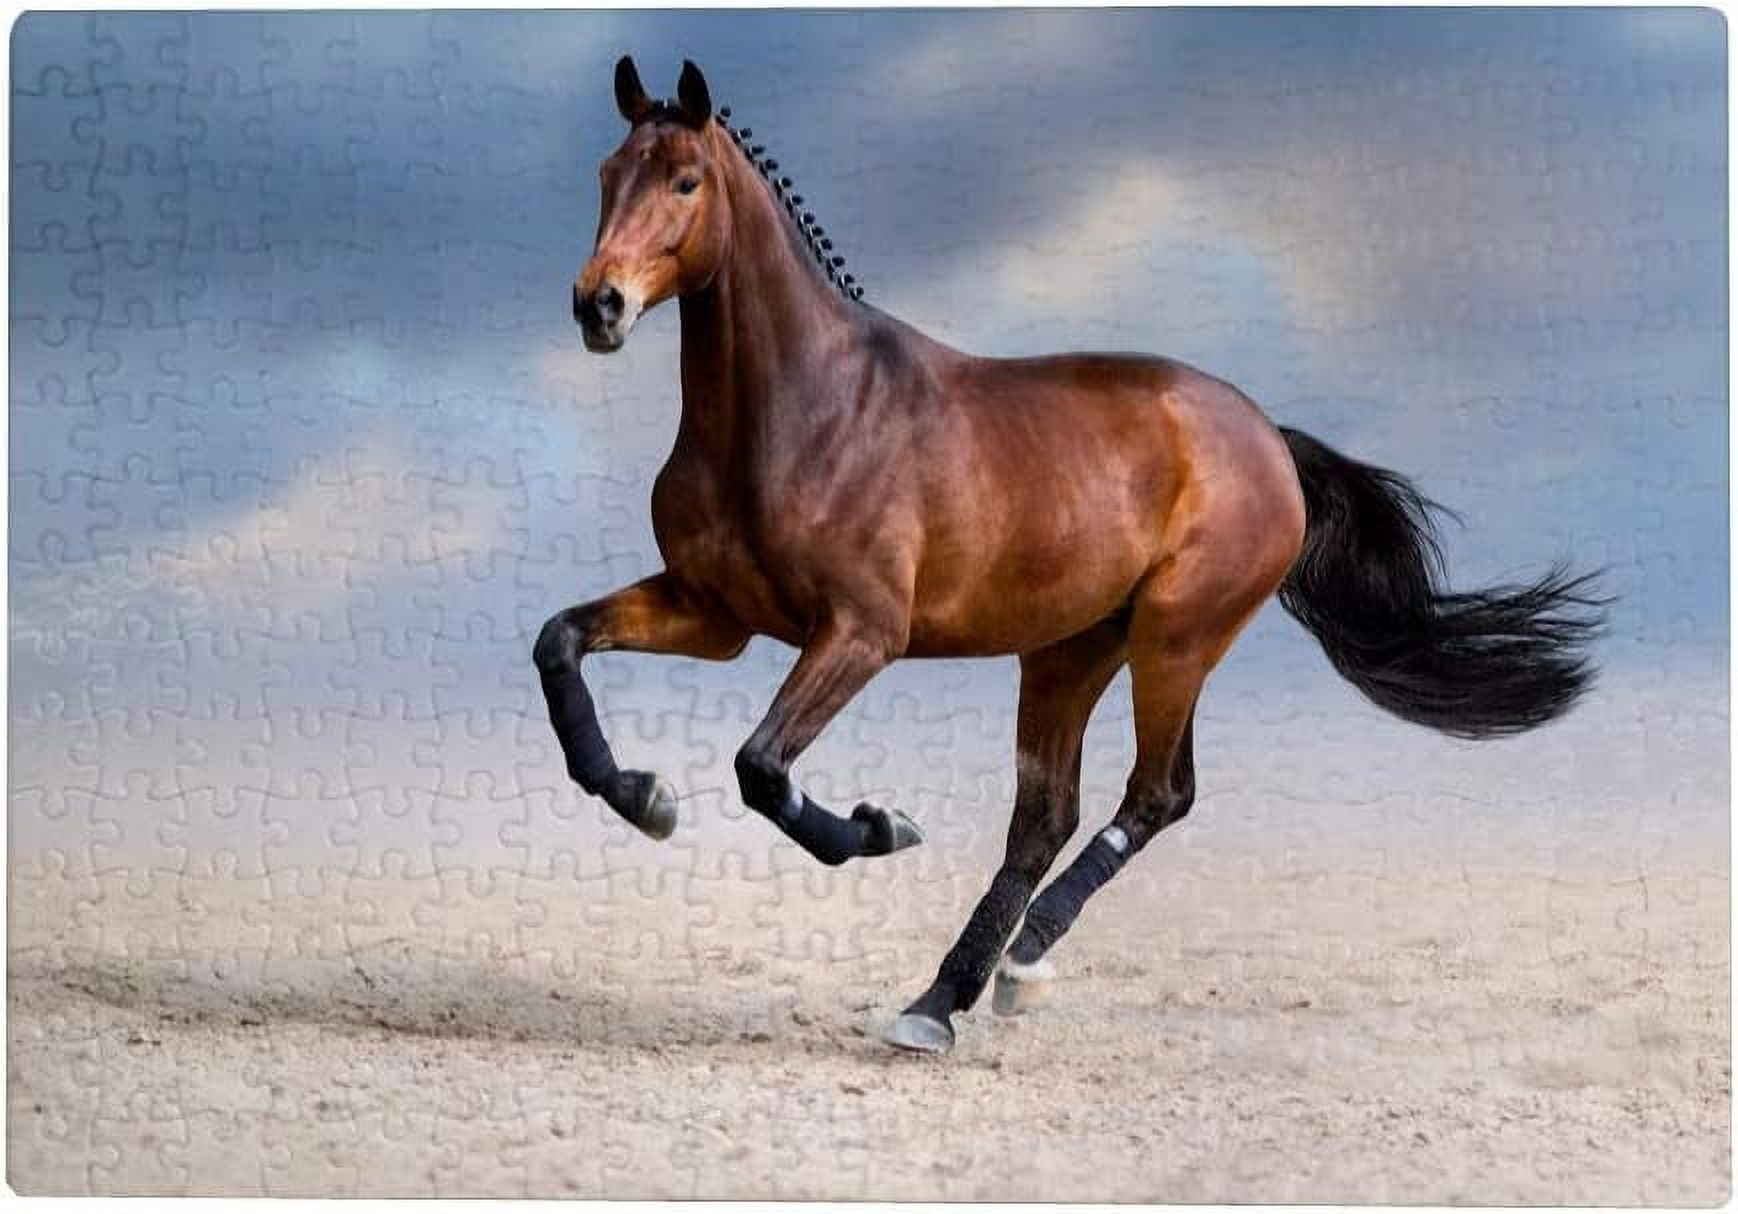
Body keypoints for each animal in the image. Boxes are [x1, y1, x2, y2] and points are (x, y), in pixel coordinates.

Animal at [538, 57, 1603, 1054]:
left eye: (684, 181)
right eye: (607, 173)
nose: (599, 305)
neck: (803, 408)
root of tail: (1267, 439)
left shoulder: (860, 634)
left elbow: (761, 765)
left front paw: (881, 828)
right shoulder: (712, 614)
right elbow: (562, 643)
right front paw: (642, 796)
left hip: (1175, 639)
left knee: (1156, 795)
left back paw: (1017, 968)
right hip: (1070, 651)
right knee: (1044, 817)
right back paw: (936, 1004)